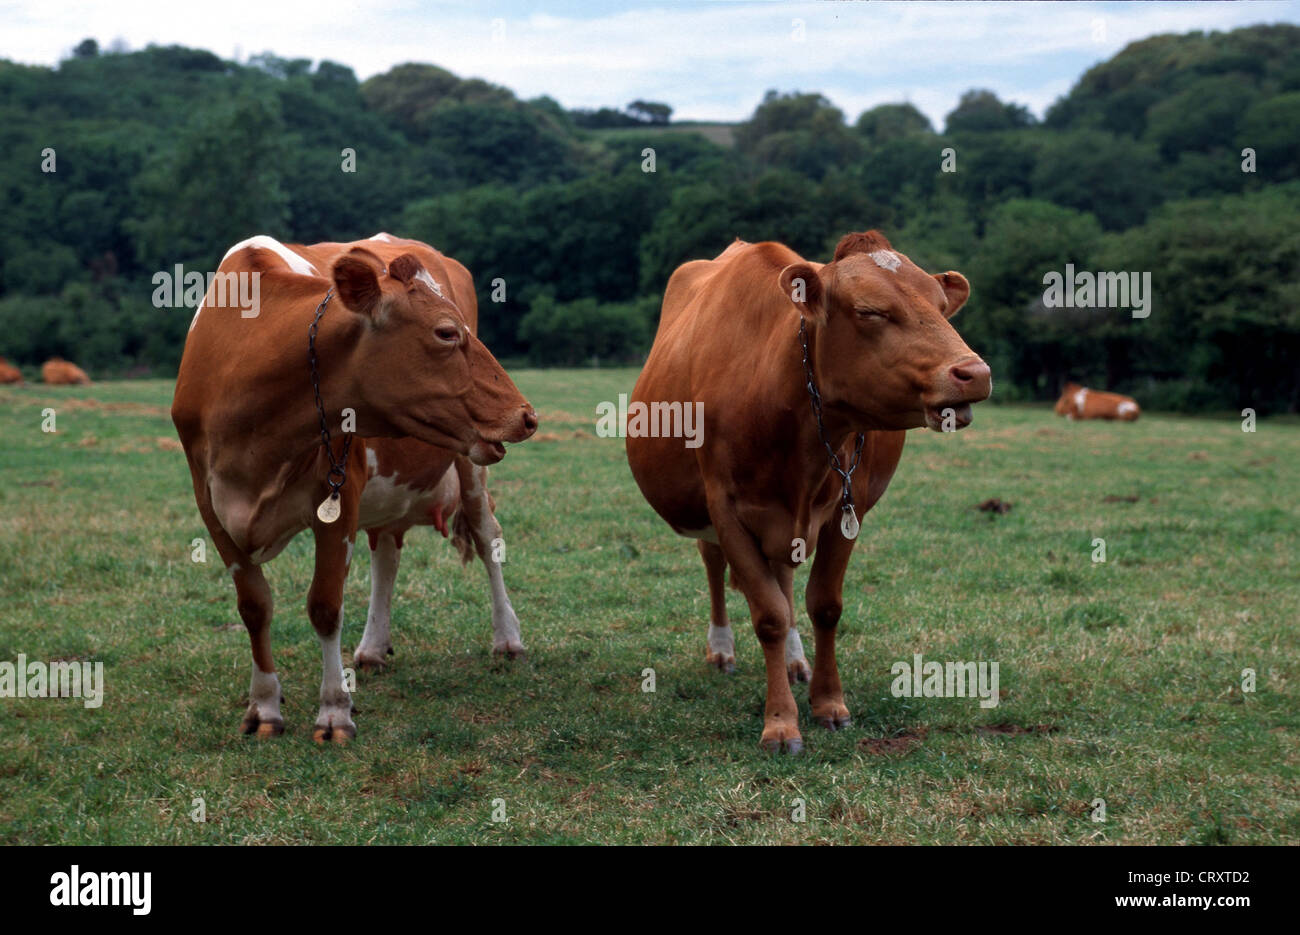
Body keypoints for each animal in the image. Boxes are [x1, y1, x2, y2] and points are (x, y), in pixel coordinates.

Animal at [172, 234, 537, 743]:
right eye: (446, 333)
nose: (527, 414)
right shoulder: (212, 507)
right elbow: (254, 607)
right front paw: (263, 706)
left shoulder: (338, 496)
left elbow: (325, 606)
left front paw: (334, 711)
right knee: (386, 553)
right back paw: (371, 647)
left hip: (470, 464)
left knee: (488, 538)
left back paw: (507, 638)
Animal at [627, 231, 991, 753]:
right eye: (870, 311)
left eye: (943, 307)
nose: (974, 373)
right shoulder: (726, 510)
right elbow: (768, 616)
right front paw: (781, 722)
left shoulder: (847, 511)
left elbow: (823, 605)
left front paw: (828, 702)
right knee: (716, 566)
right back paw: (721, 649)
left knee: (783, 579)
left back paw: (796, 661)